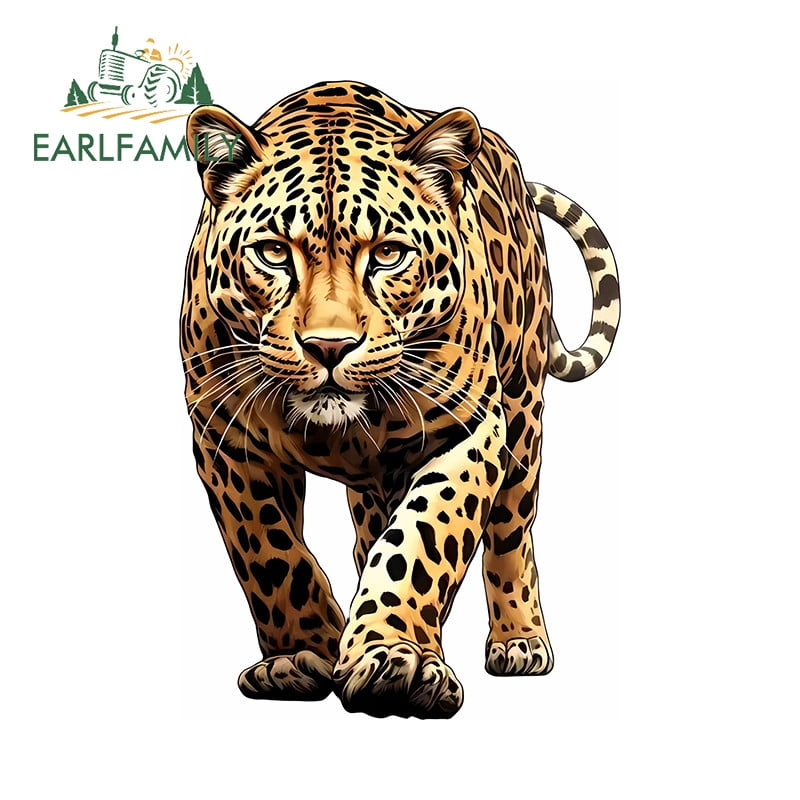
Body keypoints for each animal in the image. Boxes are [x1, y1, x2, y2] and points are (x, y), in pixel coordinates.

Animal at [180, 80, 620, 718]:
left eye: (388, 254)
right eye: (274, 254)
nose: (329, 347)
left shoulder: (467, 429)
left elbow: (419, 540)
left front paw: (394, 660)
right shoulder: (224, 437)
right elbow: (270, 553)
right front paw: (303, 653)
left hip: (524, 412)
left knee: (511, 530)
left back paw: (520, 641)